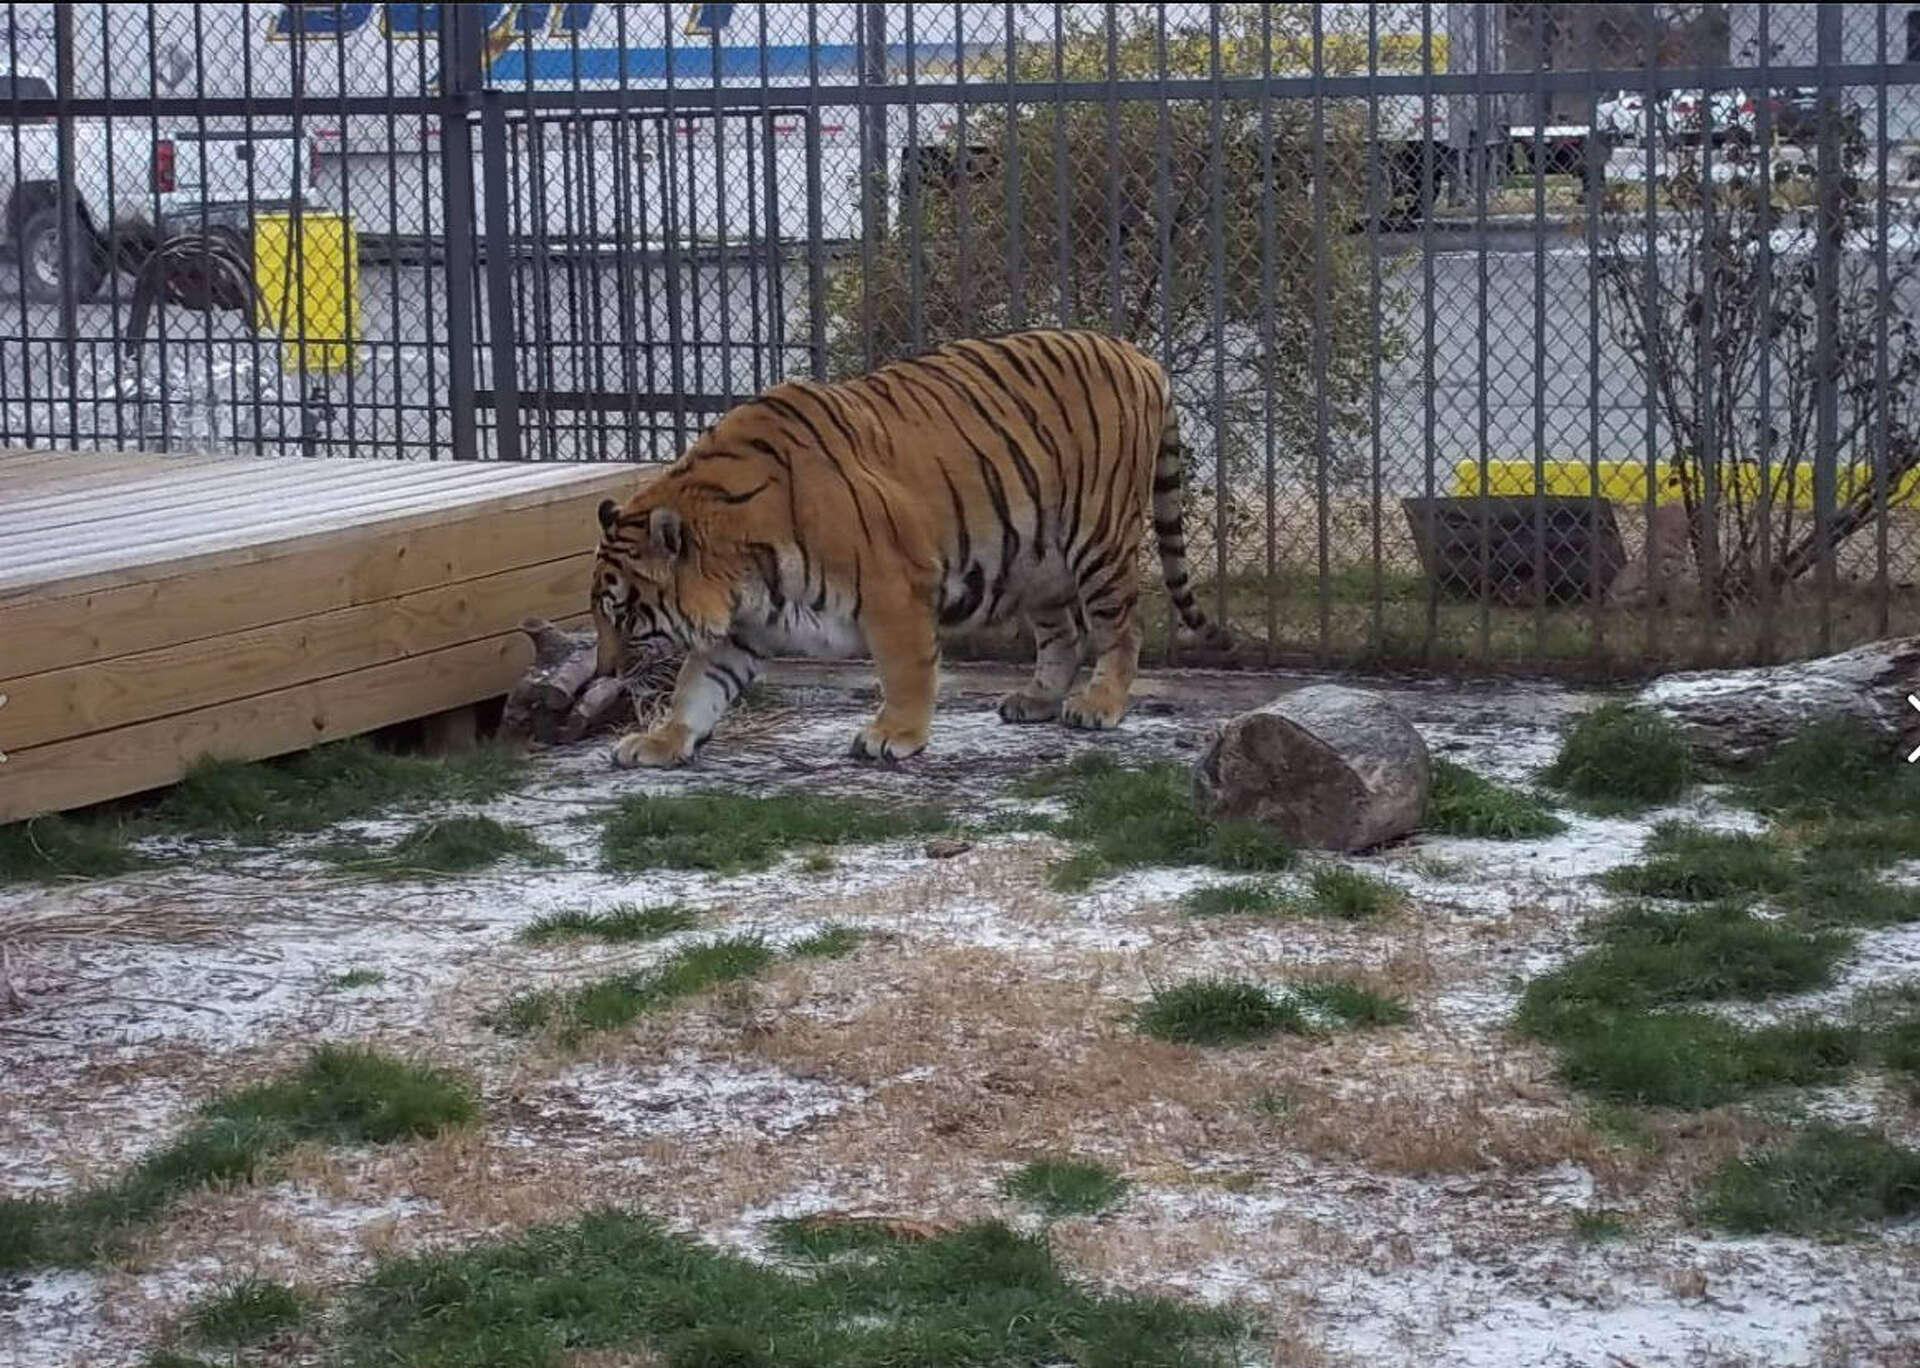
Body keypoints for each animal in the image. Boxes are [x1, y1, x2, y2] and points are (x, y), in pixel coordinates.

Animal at [588, 327, 1229, 769]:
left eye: (625, 617)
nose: (603, 678)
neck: (738, 565)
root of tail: (1135, 353)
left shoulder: (894, 591)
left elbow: (906, 670)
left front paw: (894, 735)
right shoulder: (743, 627)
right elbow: (698, 687)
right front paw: (661, 740)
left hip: (1099, 543)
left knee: (1121, 630)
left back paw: (1099, 705)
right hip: (1038, 561)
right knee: (1063, 635)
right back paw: (1037, 699)